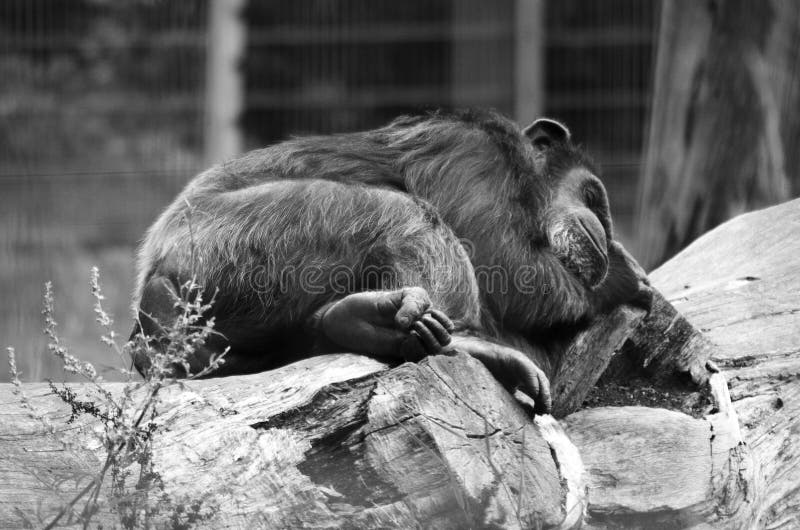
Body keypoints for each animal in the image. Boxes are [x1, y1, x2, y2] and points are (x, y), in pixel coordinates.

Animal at [130, 109, 651, 415]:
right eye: (594, 196)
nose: (607, 231)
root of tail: (152, 290)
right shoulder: (469, 156)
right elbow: (505, 262)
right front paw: (624, 277)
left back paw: (359, 323)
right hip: (232, 242)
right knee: (399, 212)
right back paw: (471, 346)